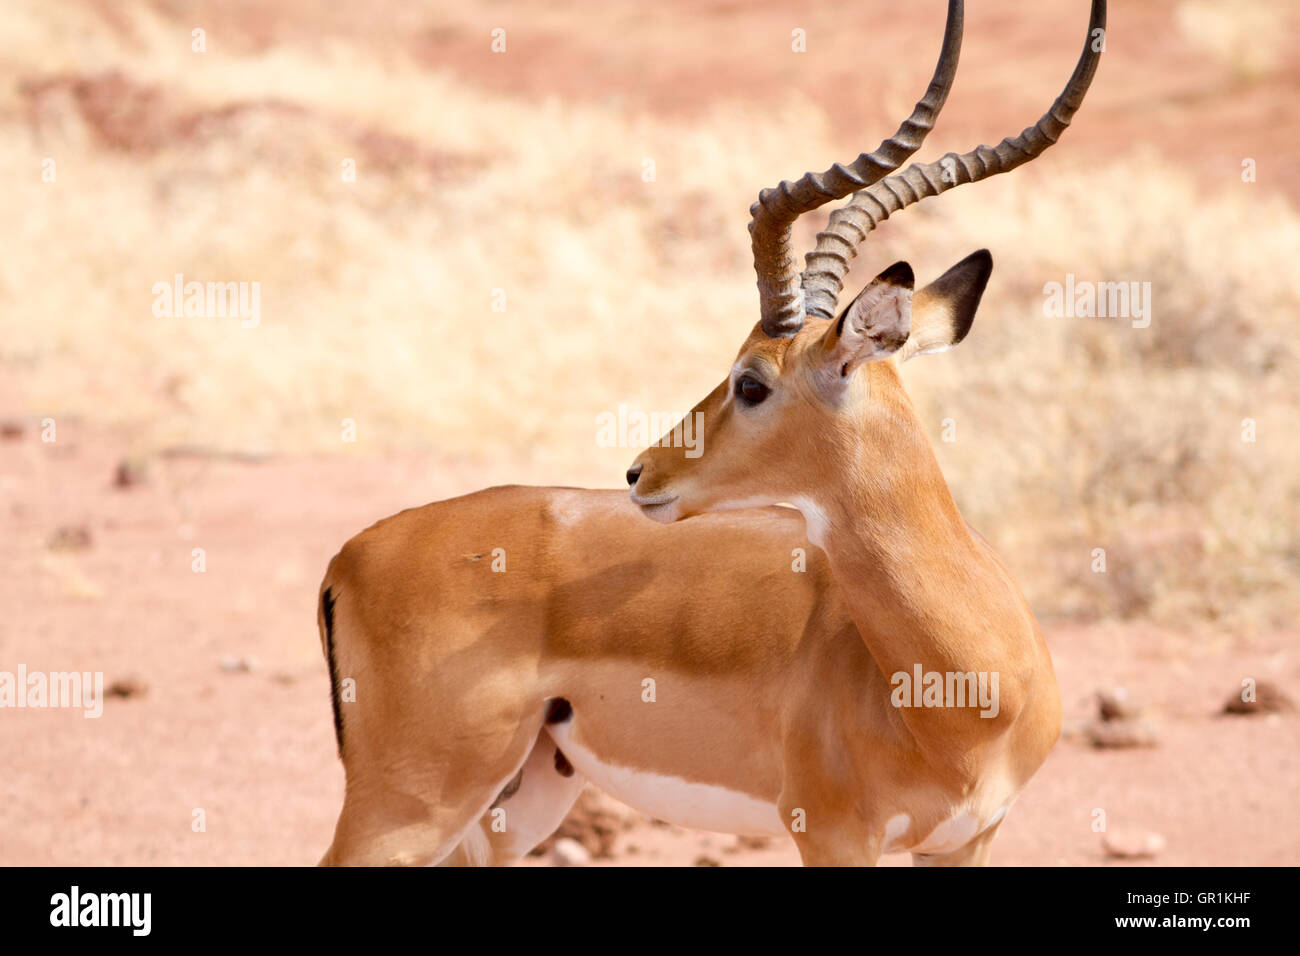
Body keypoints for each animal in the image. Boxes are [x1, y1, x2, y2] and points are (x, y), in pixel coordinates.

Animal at [318, 0, 1104, 867]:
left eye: (750, 383)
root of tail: (352, 555)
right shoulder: (830, 832)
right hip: (409, 807)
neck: (968, 692)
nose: (640, 473)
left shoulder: (967, 840)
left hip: (519, 801)